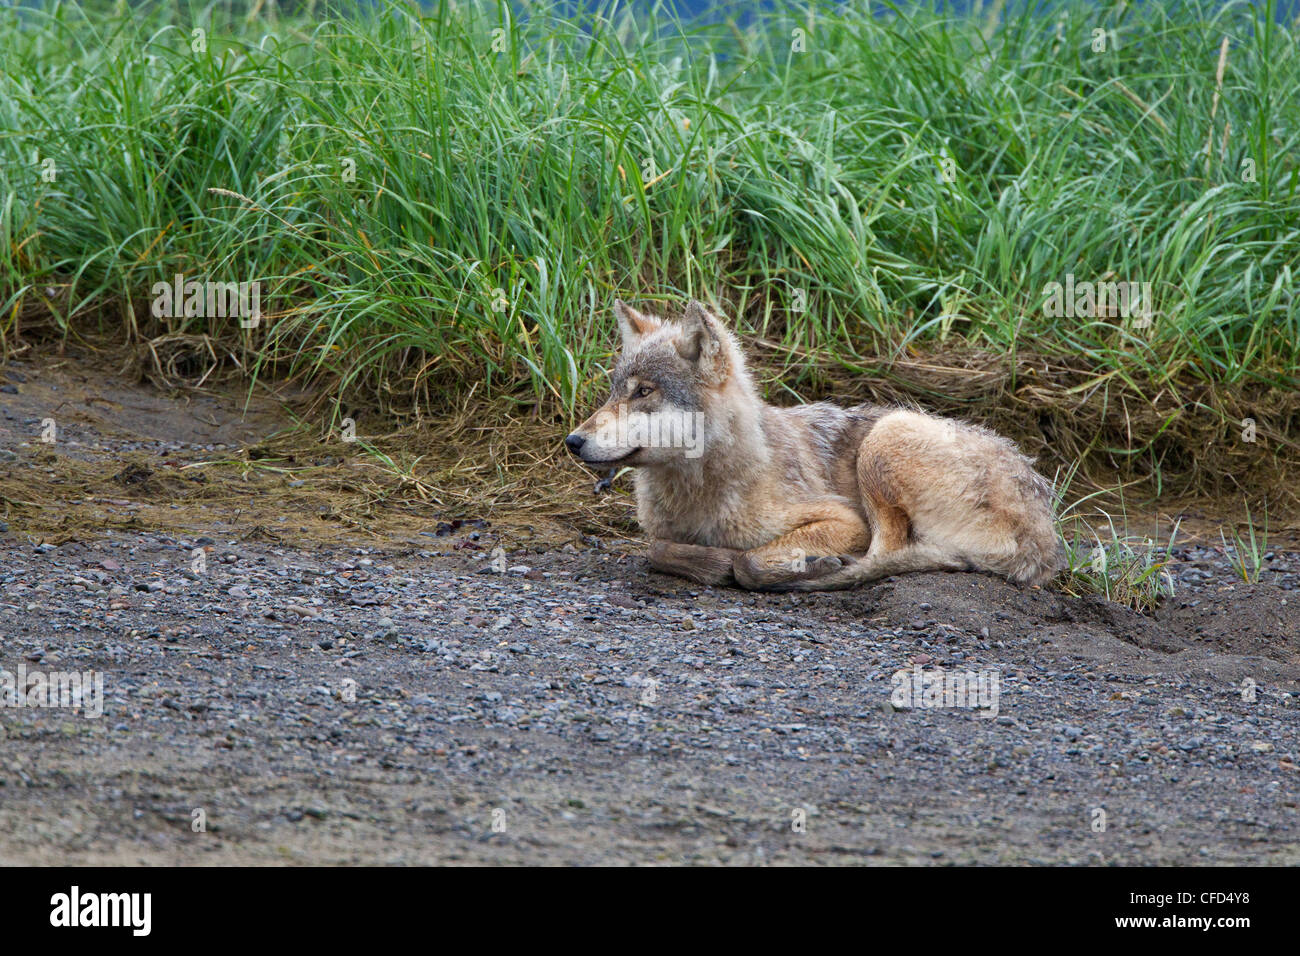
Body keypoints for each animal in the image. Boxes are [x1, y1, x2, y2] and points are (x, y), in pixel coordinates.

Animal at [565, 299, 1066, 592]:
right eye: (613, 391)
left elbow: (747, 560)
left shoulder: (843, 520)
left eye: (643, 392)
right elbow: (658, 550)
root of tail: (1046, 536)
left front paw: (746, 563)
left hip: (885, 439)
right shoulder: (661, 534)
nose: (573, 441)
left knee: (887, 552)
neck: (702, 494)